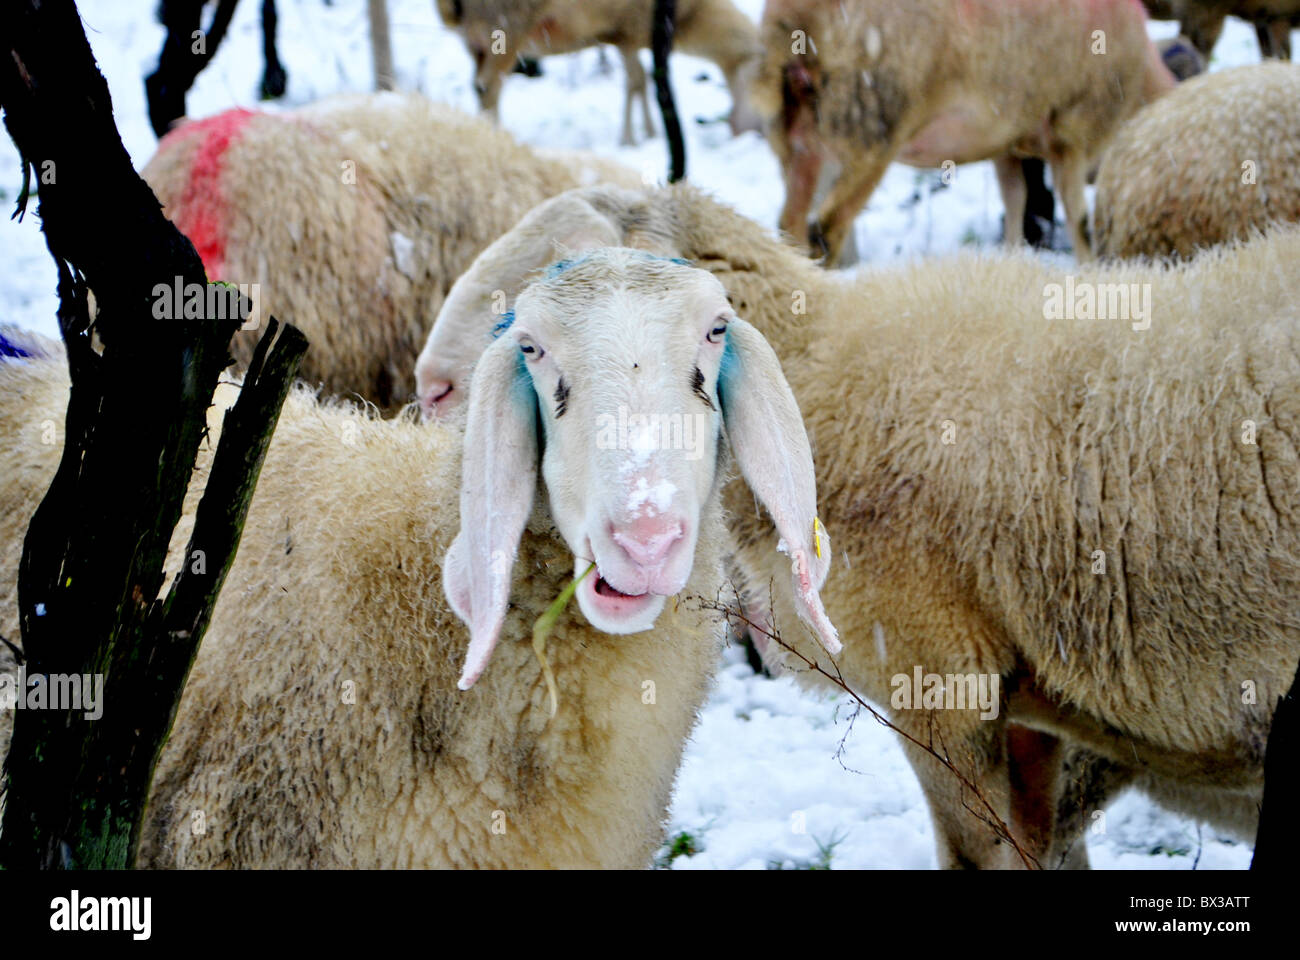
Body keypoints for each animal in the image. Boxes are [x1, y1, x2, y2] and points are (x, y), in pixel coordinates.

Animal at [413, 182, 1300, 868]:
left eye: (553, 275)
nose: (430, 388)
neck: (817, 368)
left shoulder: (939, 675)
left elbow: (979, 854)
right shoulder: (1023, 704)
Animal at [436, 0, 763, 145]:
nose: (760, 132)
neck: (692, 16)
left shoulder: (622, 36)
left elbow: (639, 83)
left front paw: (648, 131)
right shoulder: (630, 31)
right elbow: (637, 82)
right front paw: (632, 138)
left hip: (477, 42)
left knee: (480, 88)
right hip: (505, 29)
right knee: (489, 87)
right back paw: (496, 135)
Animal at [750, 0, 1176, 265]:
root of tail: (795, 18)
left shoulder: (1007, 139)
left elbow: (1015, 201)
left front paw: (1012, 260)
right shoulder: (1073, 128)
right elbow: (1079, 221)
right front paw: (1090, 270)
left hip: (799, 140)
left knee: (790, 227)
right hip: (872, 126)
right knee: (827, 230)